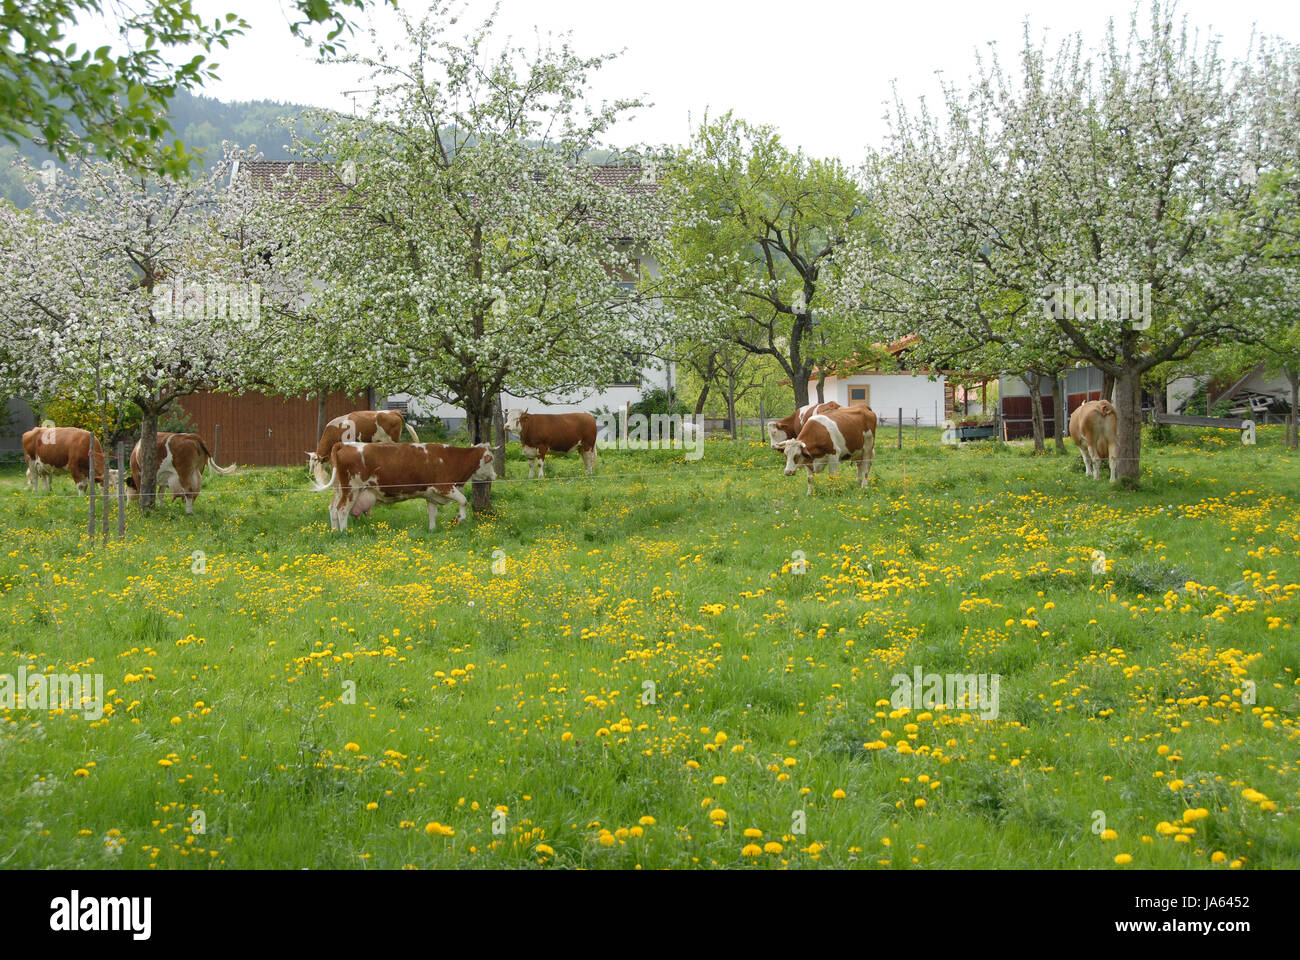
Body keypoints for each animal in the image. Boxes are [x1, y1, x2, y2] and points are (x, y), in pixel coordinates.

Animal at [313, 441, 497, 532]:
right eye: (491, 460)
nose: (495, 476)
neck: (448, 458)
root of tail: (344, 444)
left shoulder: (431, 493)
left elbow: (432, 513)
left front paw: (432, 530)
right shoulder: (444, 486)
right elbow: (463, 500)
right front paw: (459, 518)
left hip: (339, 489)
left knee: (332, 509)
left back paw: (334, 531)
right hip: (351, 489)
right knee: (342, 510)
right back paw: (344, 532)